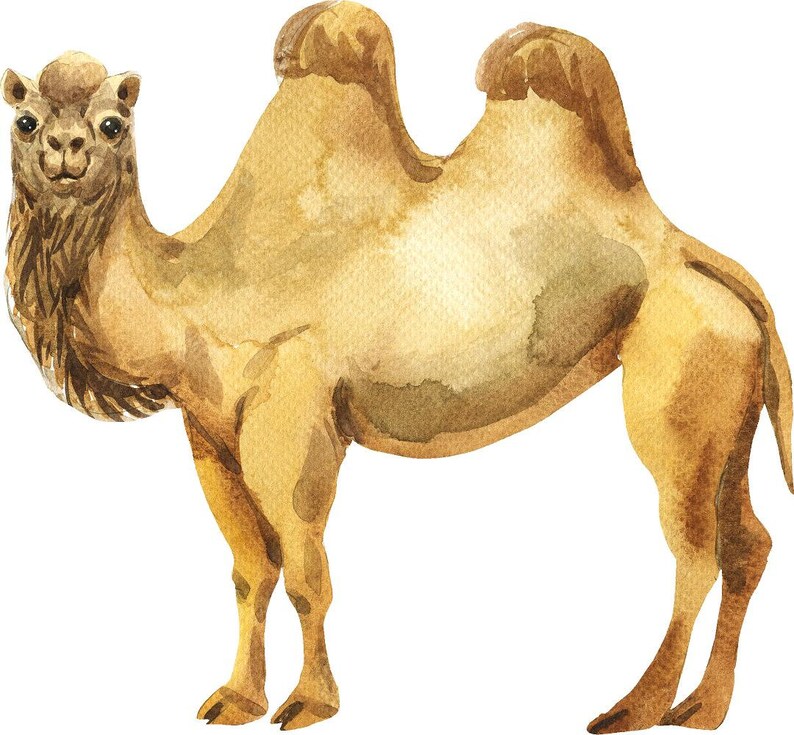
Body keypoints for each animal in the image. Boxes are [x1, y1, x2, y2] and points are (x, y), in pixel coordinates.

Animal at [3, 2, 791, 732]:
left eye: (113, 123)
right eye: (26, 120)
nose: (68, 150)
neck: (190, 297)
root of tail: (705, 259)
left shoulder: (293, 427)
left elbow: (306, 574)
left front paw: (309, 701)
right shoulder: (209, 435)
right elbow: (250, 572)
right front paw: (236, 699)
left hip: (678, 377)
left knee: (694, 549)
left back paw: (634, 705)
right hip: (730, 396)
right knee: (747, 541)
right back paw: (703, 707)